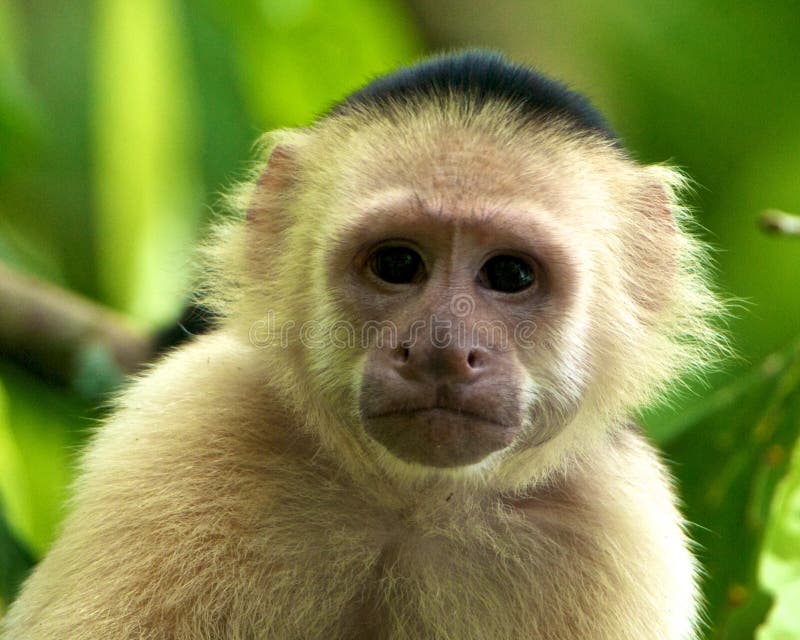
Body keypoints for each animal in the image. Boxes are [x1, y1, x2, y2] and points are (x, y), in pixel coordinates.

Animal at [1, 50, 725, 639]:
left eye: (510, 275)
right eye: (397, 264)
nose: (441, 350)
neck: (408, 506)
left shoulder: (619, 533)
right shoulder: (183, 432)